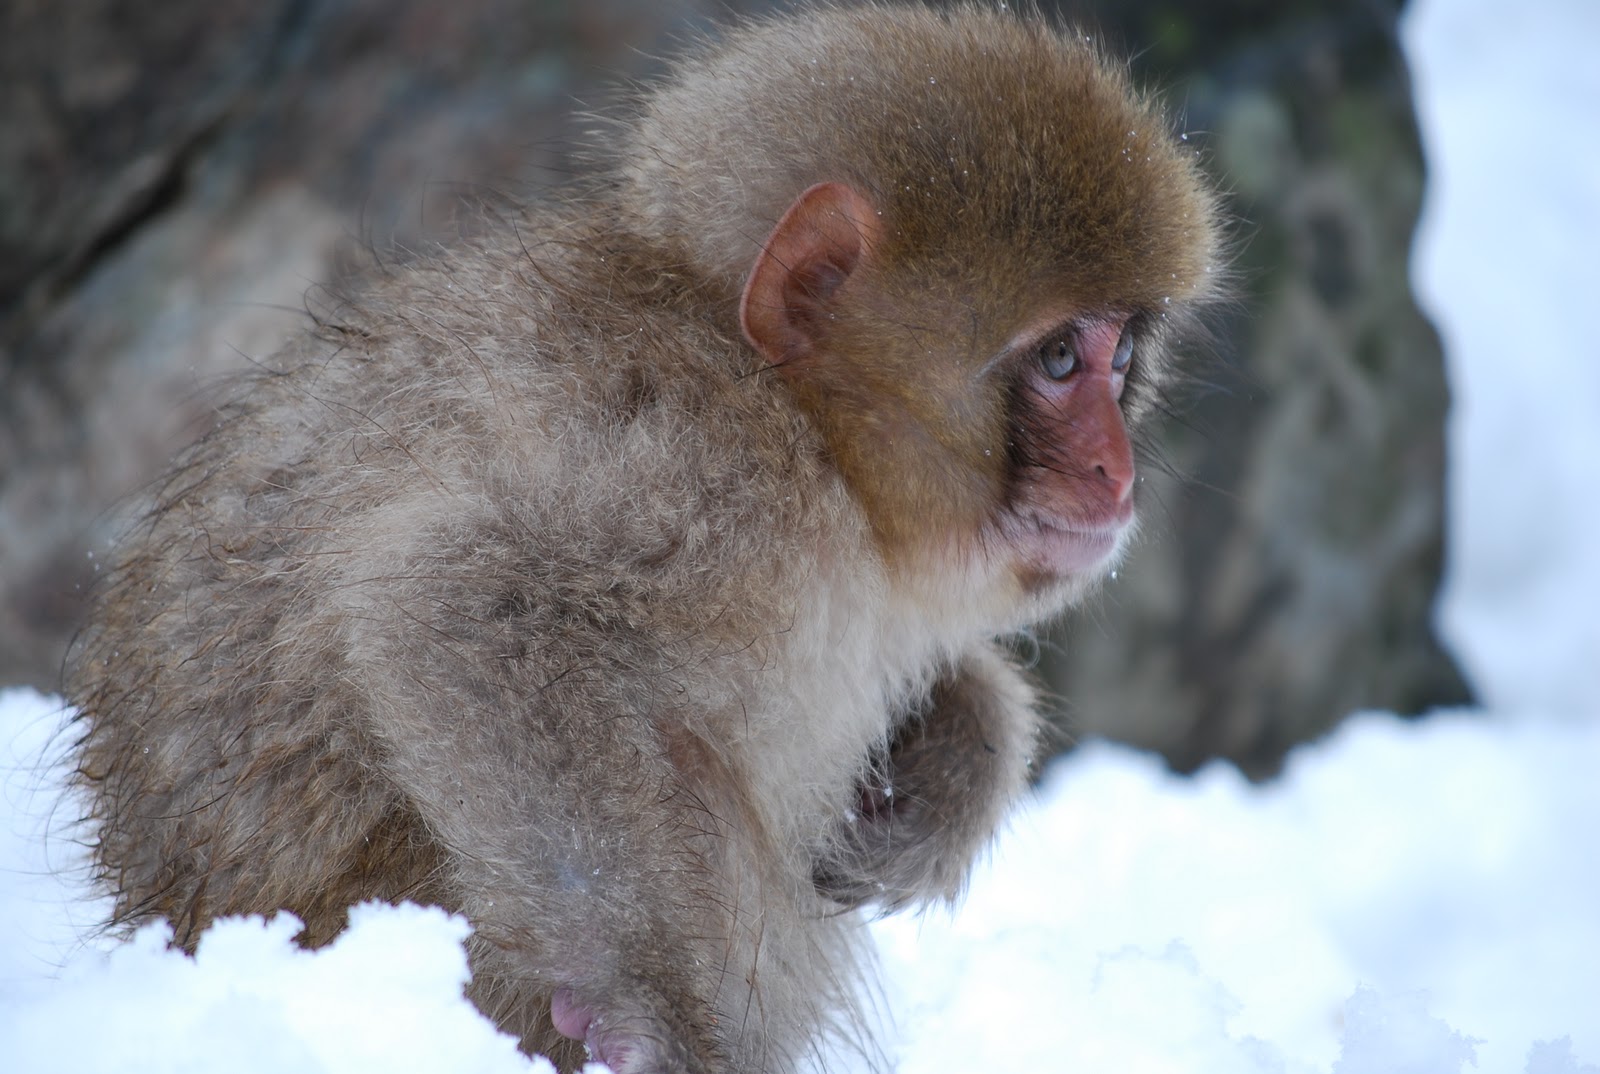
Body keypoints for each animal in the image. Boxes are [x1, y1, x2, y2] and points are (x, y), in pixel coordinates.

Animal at [66, 5, 1221, 1072]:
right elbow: (463, 605)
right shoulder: (691, 466)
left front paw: (951, 760)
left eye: (1121, 357)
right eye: (1061, 360)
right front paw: (649, 1015)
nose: (1118, 474)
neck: (814, 437)